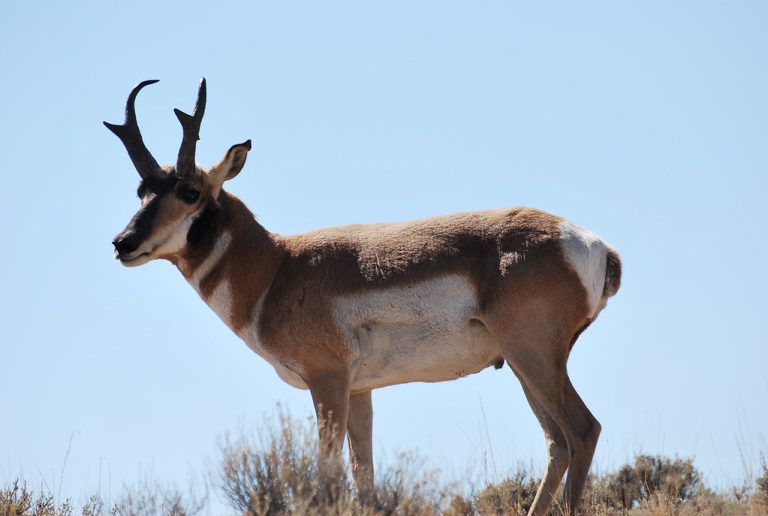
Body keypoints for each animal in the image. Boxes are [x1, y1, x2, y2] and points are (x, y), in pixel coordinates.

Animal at [106, 78, 621, 515]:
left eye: (190, 191)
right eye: (141, 190)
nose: (122, 244)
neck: (279, 266)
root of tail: (592, 244)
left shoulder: (328, 382)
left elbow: (327, 478)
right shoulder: (361, 391)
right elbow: (365, 480)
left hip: (532, 357)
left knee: (582, 430)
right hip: (522, 365)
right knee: (557, 444)